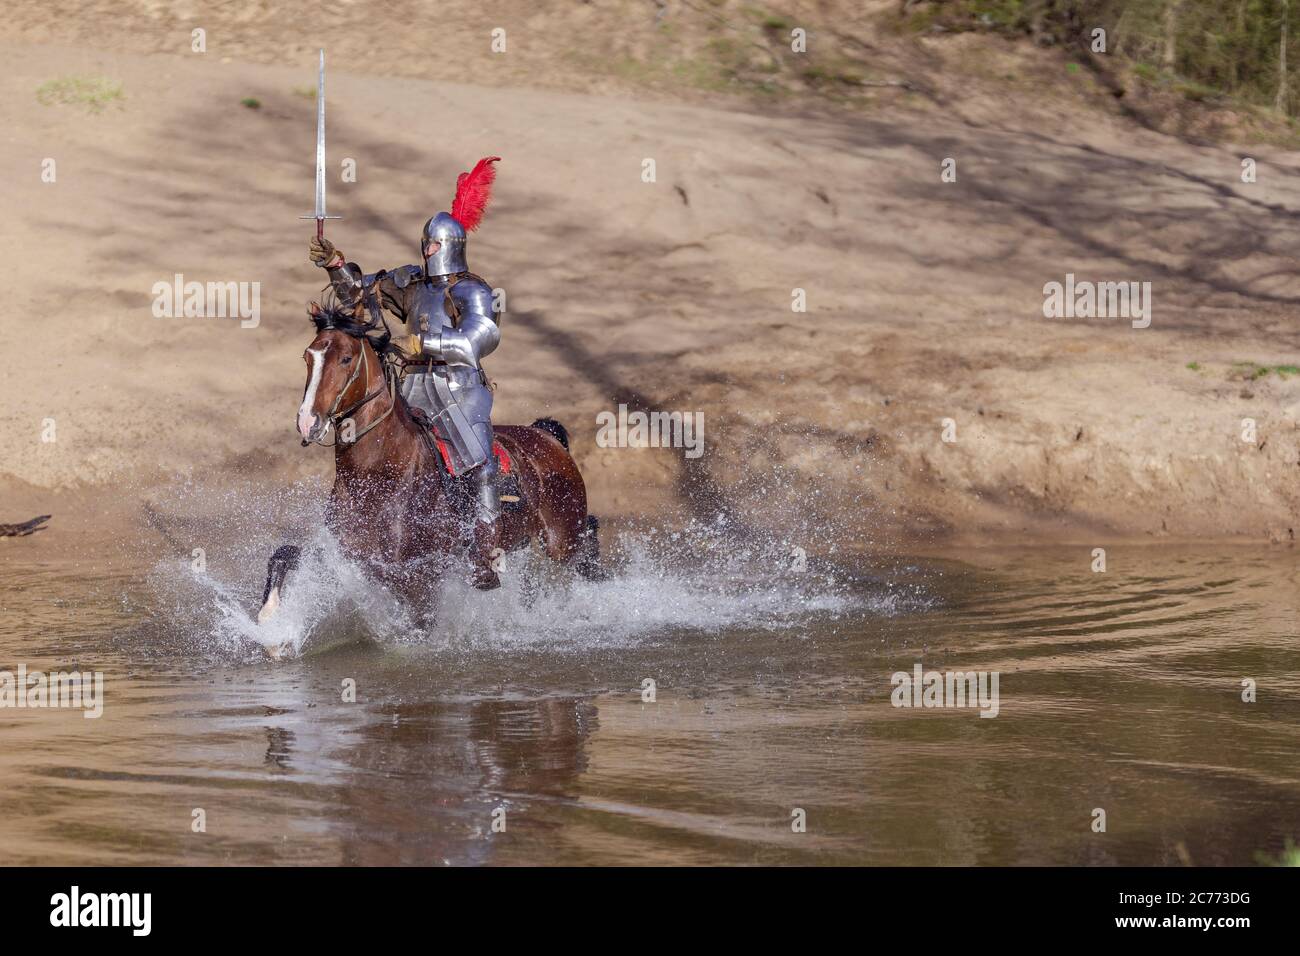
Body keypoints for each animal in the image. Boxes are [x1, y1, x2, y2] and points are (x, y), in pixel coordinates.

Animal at [254, 306, 603, 656]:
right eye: (308, 357)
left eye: (346, 358)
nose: (307, 421)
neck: (380, 476)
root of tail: (547, 436)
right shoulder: (348, 557)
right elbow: (286, 554)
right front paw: (272, 627)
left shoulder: (416, 577)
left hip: (562, 540)